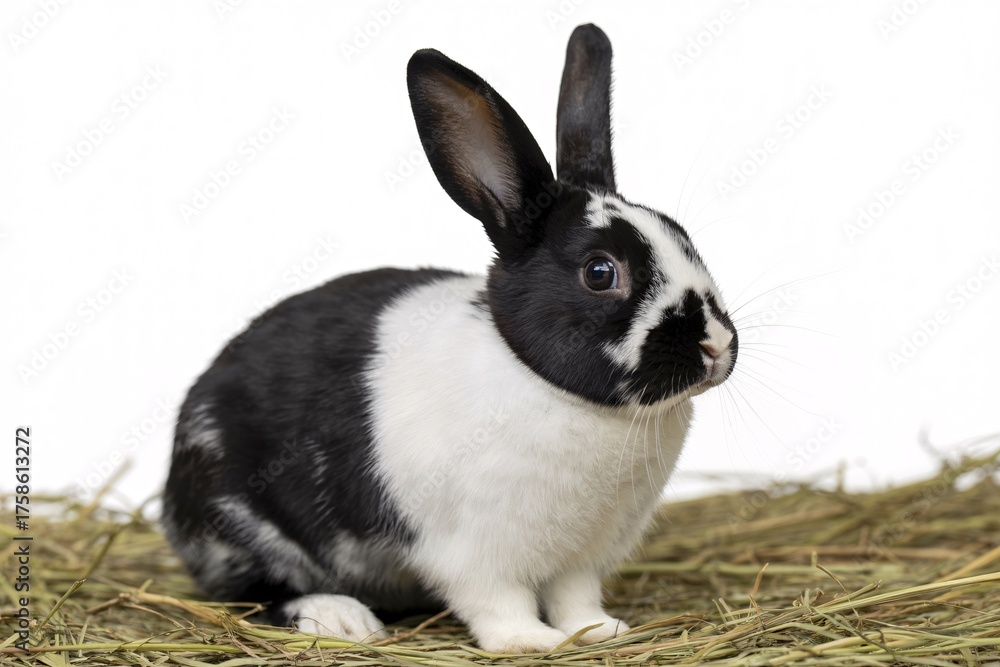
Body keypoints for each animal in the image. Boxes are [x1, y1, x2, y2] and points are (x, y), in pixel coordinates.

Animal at [162, 23, 737, 654]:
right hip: (234, 519)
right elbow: (499, 604)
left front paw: (600, 631)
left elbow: (575, 599)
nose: (716, 346)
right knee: (253, 588)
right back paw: (340, 618)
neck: (558, 394)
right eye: (600, 272)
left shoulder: (582, 557)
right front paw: (530, 643)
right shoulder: (474, 554)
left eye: (682, 237)